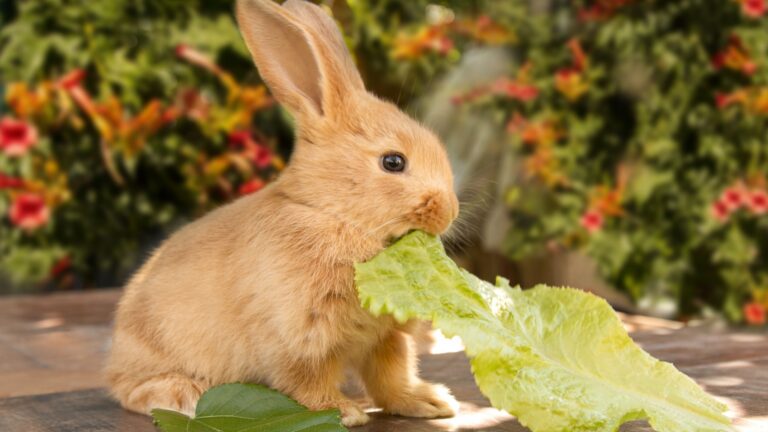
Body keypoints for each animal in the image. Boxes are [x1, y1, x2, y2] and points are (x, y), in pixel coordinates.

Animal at [105, 0, 460, 427]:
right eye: (393, 162)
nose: (449, 212)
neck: (329, 213)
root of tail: (116, 351)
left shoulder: (385, 335)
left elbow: (392, 375)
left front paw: (430, 403)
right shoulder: (299, 336)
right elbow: (307, 380)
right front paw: (344, 412)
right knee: (132, 392)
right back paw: (184, 394)